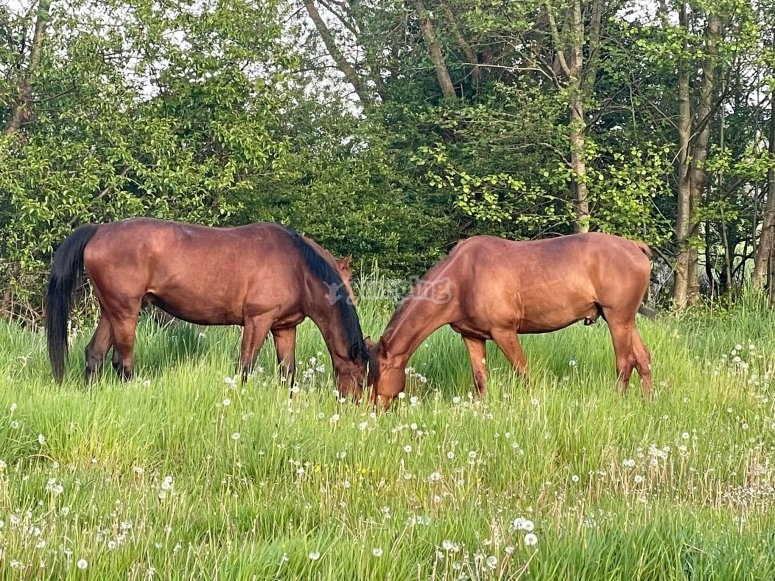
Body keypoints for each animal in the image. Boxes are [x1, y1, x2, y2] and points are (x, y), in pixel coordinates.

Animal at [46, 218, 373, 396]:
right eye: (360, 379)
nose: (355, 407)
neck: (297, 266)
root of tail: (99, 230)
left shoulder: (284, 327)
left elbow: (287, 371)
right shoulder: (258, 320)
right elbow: (245, 366)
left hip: (110, 310)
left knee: (95, 354)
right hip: (126, 312)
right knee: (122, 362)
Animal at [367, 232, 653, 409]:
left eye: (374, 376)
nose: (371, 409)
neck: (464, 277)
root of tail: (635, 246)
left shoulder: (504, 332)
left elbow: (523, 372)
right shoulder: (472, 336)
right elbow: (480, 379)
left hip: (617, 319)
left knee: (625, 362)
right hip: (626, 320)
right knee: (643, 359)